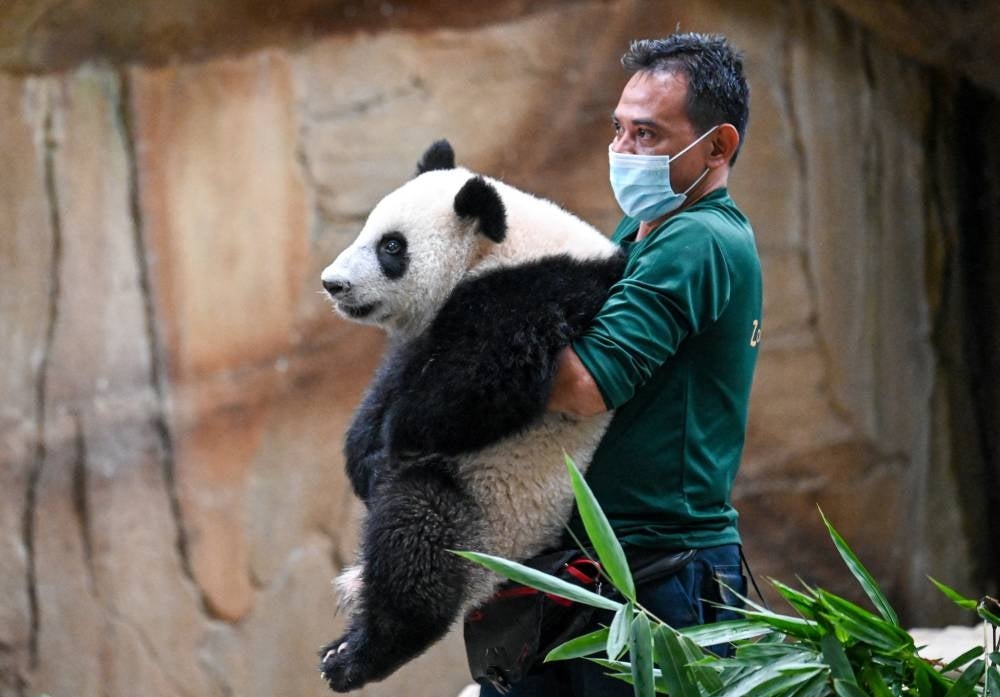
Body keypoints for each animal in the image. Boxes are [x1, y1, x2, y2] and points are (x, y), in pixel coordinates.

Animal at [317, 140, 625, 692]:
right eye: (367, 231)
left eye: (391, 247)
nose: (334, 284)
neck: (499, 248)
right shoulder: (425, 337)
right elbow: (394, 380)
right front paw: (364, 456)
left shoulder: (534, 292)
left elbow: (480, 384)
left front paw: (393, 444)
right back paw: (342, 645)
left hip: (489, 520)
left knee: (417, 537)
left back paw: (361, 656)